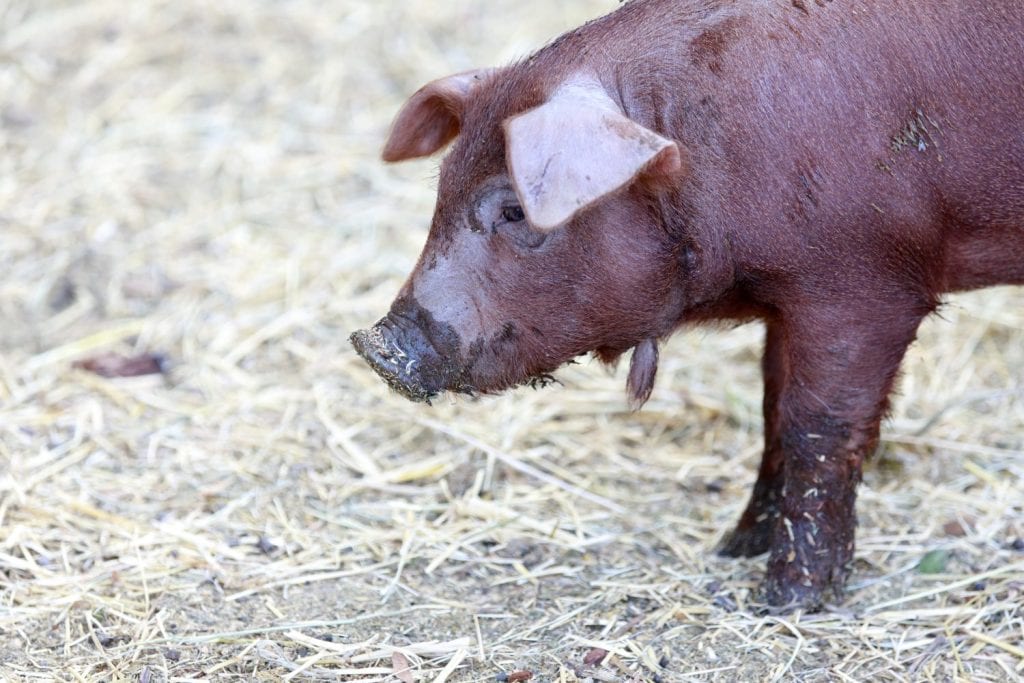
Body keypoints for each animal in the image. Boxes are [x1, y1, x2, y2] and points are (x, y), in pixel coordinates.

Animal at [351, 0, 1024, 609]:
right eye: (441, 190)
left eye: (515, 210)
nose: (377, 345)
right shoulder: (790, 302)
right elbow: (772, 411)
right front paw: (733, 548)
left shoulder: (866, 287)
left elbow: (818, 427)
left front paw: (787, 600)